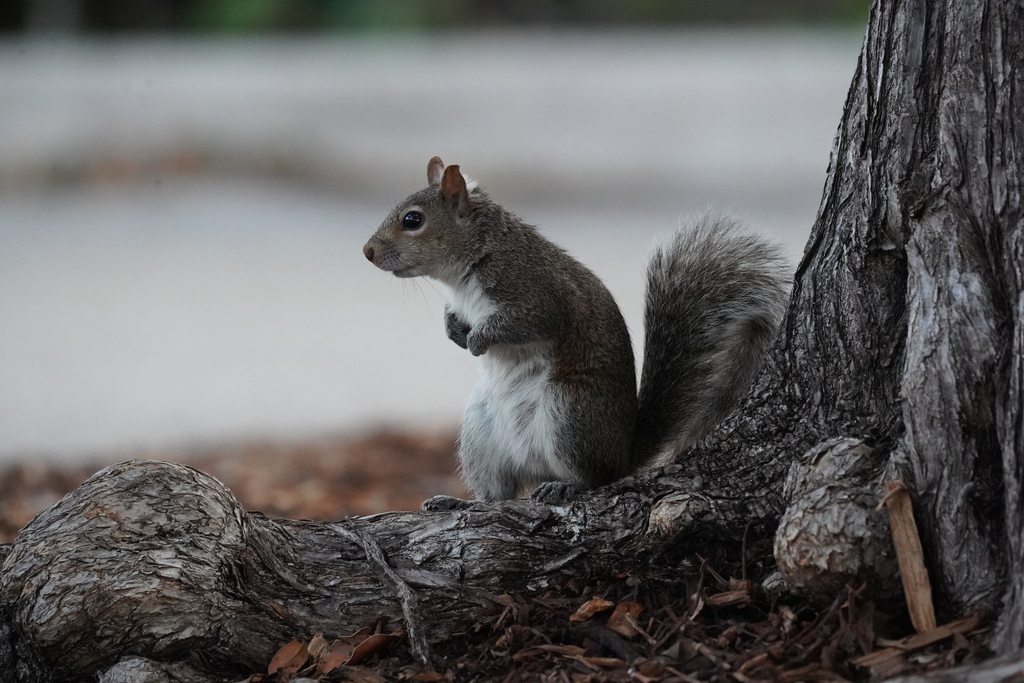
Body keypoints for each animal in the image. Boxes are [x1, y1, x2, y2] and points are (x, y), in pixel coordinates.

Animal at [363, 157, 789, 507]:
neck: (468, 268)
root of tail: (623, 451)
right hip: (480, 434)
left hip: (571, 410)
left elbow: (521, 324)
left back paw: (567, 486)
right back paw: (463, 503)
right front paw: (453, 330)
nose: (367, 252)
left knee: (598, 477)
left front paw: (478, 340)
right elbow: (455, 317)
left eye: (413, 220)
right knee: (499, 494)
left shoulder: (536, 296)